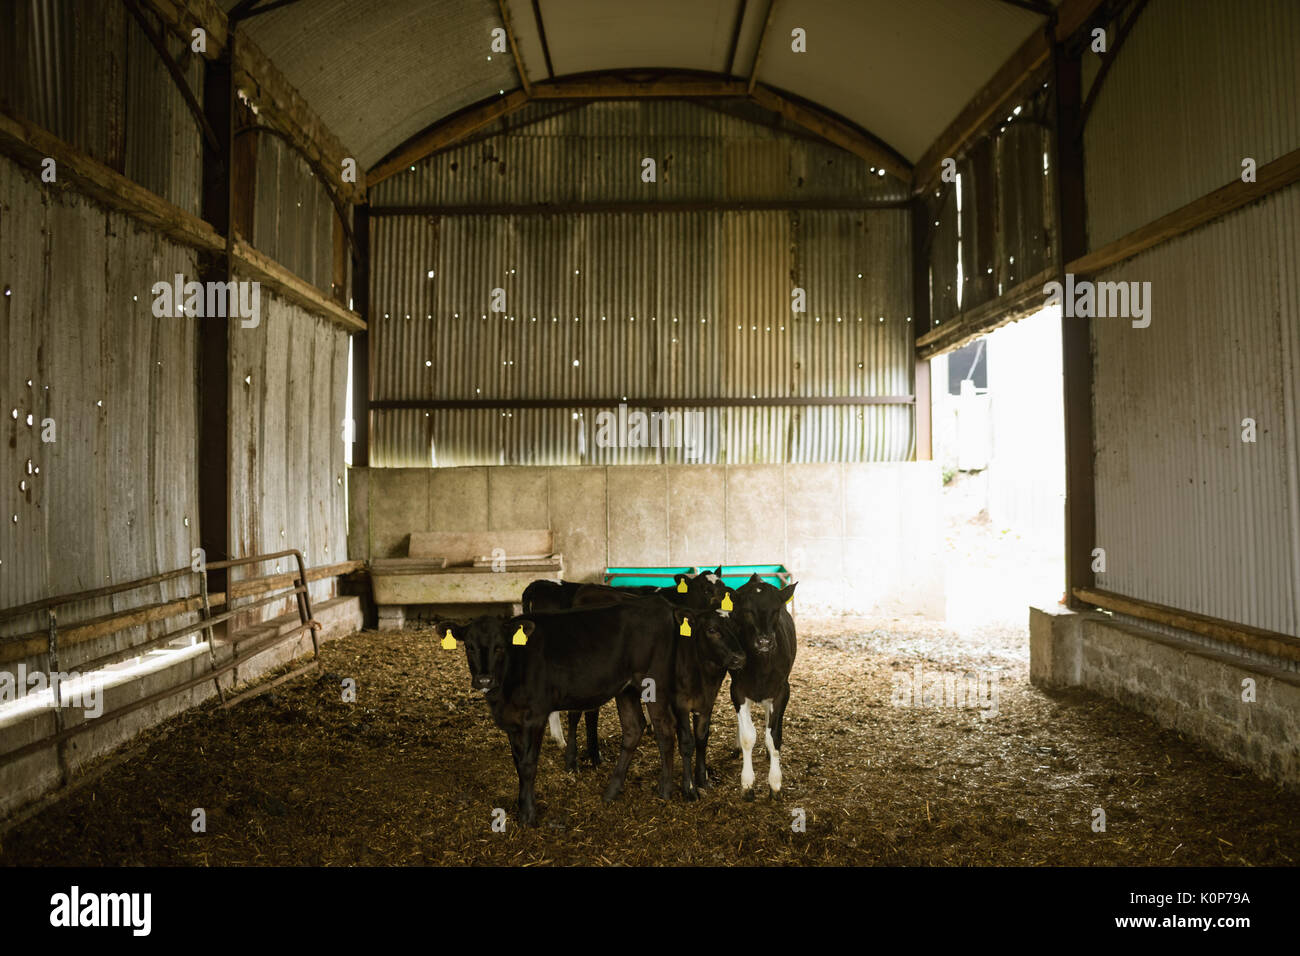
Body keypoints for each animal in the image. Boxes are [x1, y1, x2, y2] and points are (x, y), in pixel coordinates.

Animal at [435, 595, 689, 826]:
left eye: (500, 647)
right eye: (469, 646)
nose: (484, 679)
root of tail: (661, 604)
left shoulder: (535, 716)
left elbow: (528, 765)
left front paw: (528, 815)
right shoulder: (512, 722)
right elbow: (518, 763)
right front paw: (520, 805)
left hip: (654, 682)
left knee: (665, 729)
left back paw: (664, 790)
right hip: (626, 688)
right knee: (634, 728)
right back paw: (611, 791)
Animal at [728, 575, 798, 799]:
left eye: (776, 609)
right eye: (747, 610)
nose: (765, 641)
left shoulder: (782, 690)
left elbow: (773, 736)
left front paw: (775, 783)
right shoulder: (737, 690)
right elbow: (748, 737)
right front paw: (747, 783)